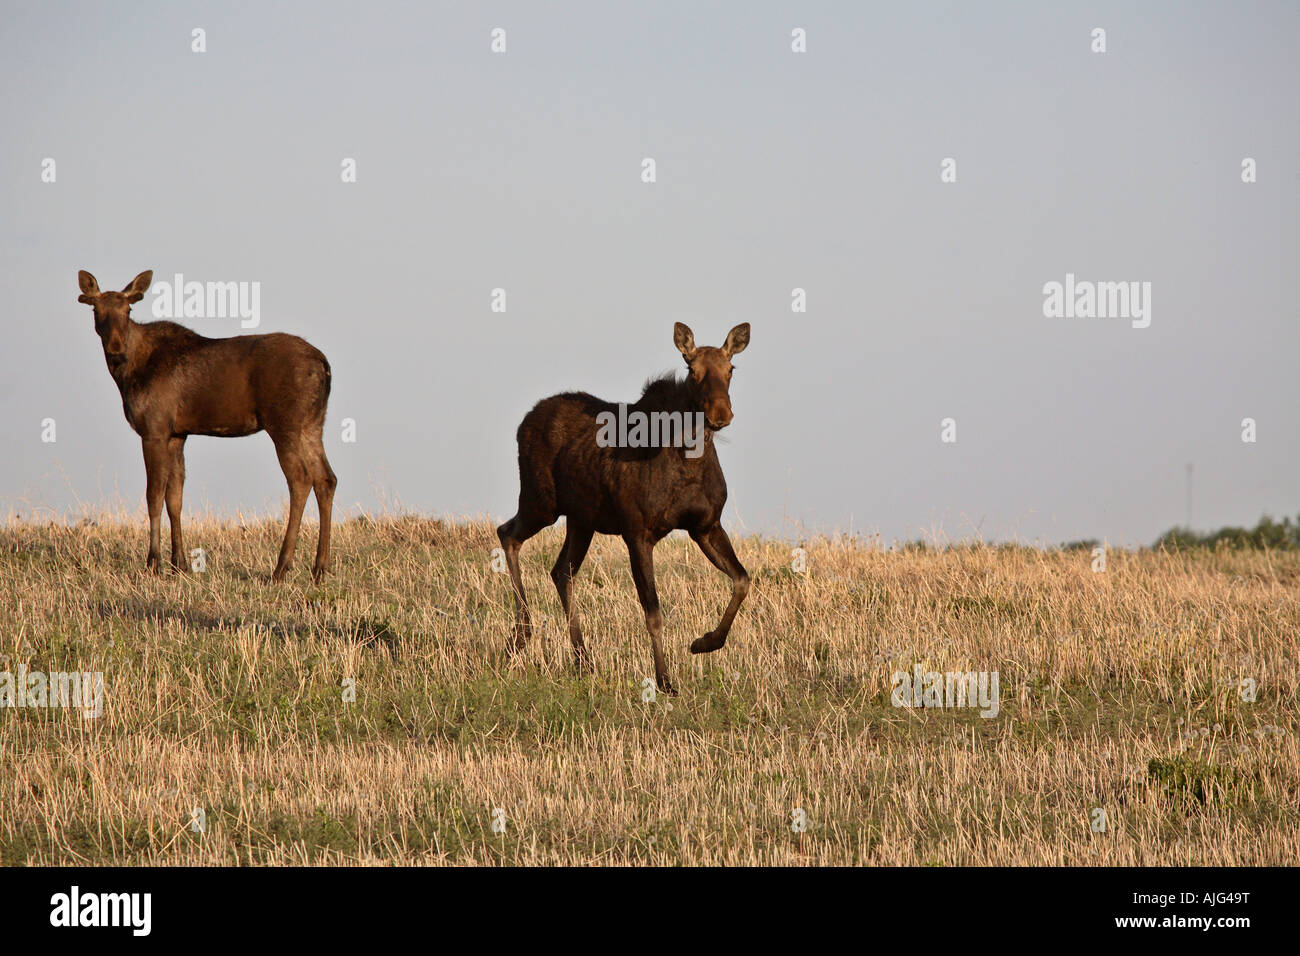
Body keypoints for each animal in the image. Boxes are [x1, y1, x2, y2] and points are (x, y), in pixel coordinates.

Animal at [76, 269, 337, 582]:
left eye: (128, 310)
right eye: (97, 310)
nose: (115, 348)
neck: (127, 376)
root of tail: (325, 366)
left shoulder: (154, 429)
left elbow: (153, 495)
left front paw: (153, 563)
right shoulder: (178, 434)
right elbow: (174, 497)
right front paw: (179, 564)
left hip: (285, 424)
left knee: (300, 479)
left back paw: (281, 567)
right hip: (312, 424)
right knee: (326, 478)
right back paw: (319, 567)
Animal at [498, 322, 752, 694]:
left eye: (731, 369)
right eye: (692, 370)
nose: (721, 414)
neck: (689, 458)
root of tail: (523, 422)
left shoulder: (706, 526)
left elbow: (742, 580)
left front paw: (704, 643)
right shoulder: (637, 533)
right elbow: (654, 613)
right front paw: (664, 681)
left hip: (580, 520)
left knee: (561, 571)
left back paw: (583, 660)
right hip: (541, 502)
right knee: (507, 534)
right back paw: (522, 635)